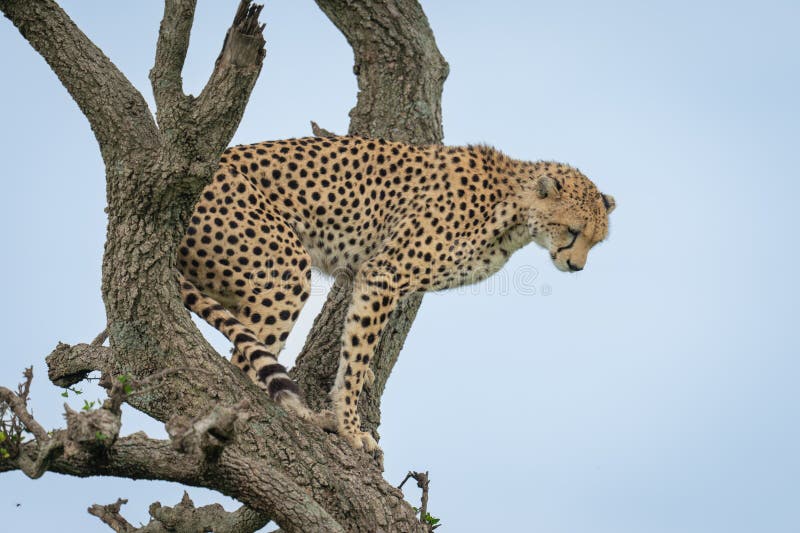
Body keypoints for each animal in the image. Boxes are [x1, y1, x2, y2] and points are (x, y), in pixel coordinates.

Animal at [177, 135, 616, 451]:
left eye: (595, 241)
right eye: (572, 231)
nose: (577, 266)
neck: (513, 209)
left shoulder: (372, 274)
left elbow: (358, 341)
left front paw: (361, 380)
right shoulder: (384, 273)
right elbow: (355, 356)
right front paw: (350, 427)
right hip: (283, 267)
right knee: (242, 362)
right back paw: (306, 418)